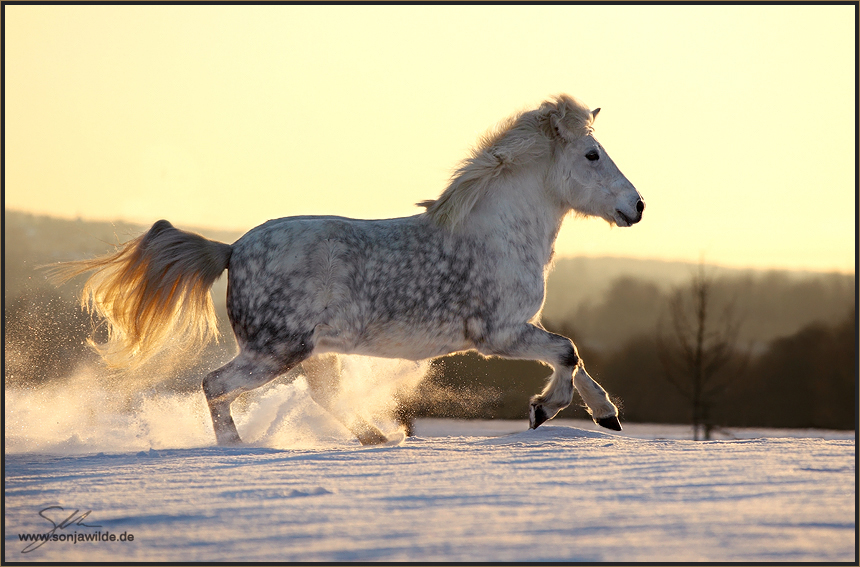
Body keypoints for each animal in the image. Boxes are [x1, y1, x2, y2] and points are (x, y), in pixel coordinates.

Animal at [50, 94, 644, 446]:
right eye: (592, 155)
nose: (636, 207)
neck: (497, 234)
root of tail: (233, 249)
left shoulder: (516, 329)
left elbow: (573, 356)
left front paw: (607, 415)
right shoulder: (496, 335)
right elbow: (566, 351)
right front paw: (545, 410)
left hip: (312, 351)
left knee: (322, 396)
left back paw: (378, 439)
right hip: (276, 349)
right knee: (214, 385)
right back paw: (237, 449)